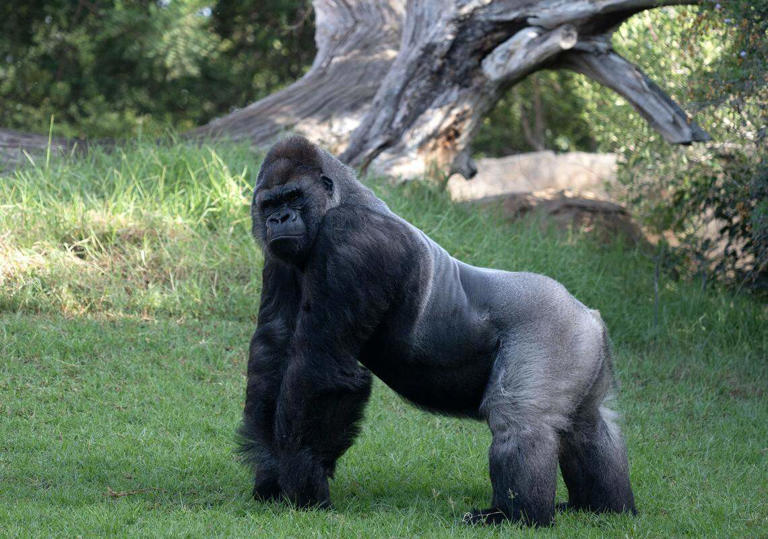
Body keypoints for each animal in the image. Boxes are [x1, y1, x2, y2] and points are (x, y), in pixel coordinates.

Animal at [238, 135, 636, 526]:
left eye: (294, 197)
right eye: (270, 203)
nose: (279, 218)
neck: (343, 198)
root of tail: (589, 316)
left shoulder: (352, 237)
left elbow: (322, 367)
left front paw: (302, 481)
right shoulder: (280, 257)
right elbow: (273, 350)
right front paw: (270, 472)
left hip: (553, 328)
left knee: (521, 420)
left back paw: (517, 516)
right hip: (583, 346)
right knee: (590, 425)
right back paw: (602, 508)